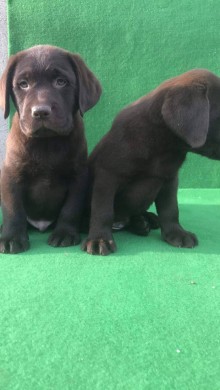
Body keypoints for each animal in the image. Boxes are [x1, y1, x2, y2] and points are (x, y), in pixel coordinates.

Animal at [0, 44, 101, 254]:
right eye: (23, 84)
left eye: (61, 82)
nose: (40, 111)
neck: (46, 142)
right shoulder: (11, 173)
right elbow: (12, 208)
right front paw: (11, 237)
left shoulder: (78, 176)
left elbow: (71, 208)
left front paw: (65, 233)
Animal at [82, 69, 220, 256]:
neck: (163, 147)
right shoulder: (107, 176)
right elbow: (103, 210)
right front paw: (99, 239)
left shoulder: (169, 179)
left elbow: (171, 209)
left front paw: (176, 233)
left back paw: (145, 220)